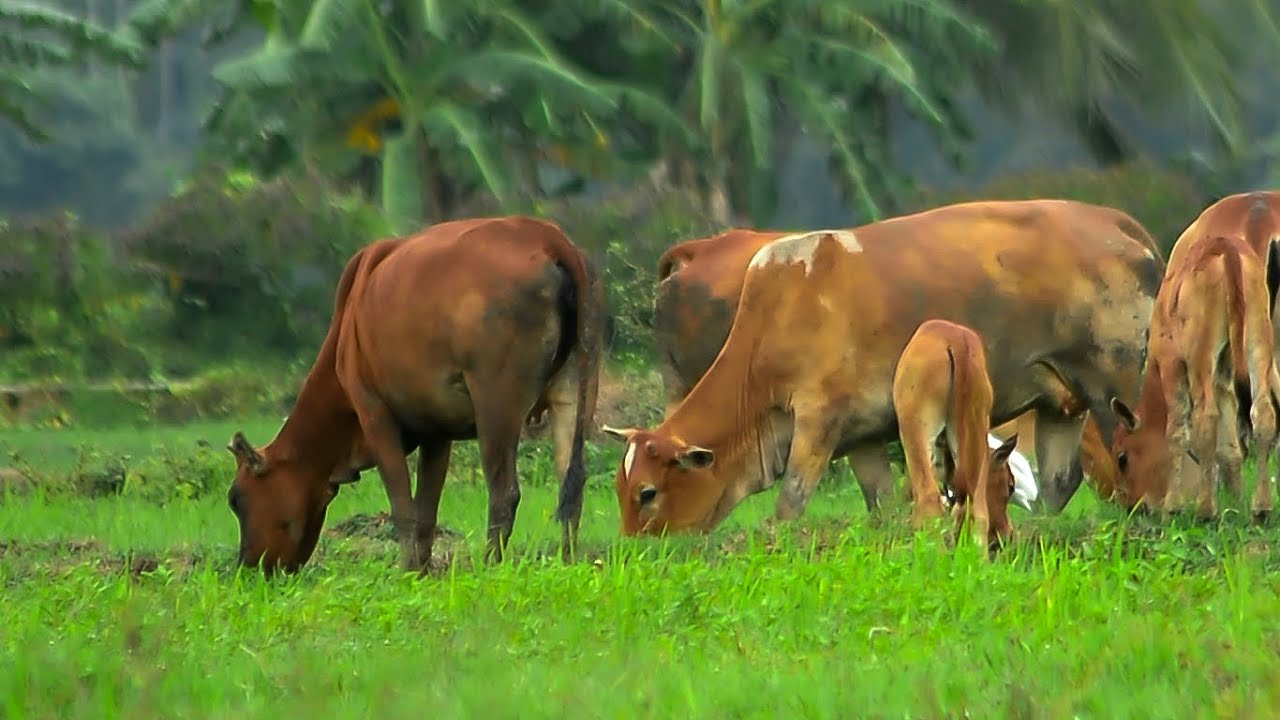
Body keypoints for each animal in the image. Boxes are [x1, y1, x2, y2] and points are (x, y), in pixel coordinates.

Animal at [225, 216, 603, 575]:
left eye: (237, 499)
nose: (247, 566)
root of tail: (547, 237)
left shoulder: (373, 412)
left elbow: (403, 507)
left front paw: (407, 571)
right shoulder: (437, 431)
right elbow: (426, 510)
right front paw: (422, 570)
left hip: (496, 402)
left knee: (504, 492)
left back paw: (490, 565)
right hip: (576, 389)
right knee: (571, 485)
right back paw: (568, 561)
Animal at [891, 318, 1026, 548]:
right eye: (1010, 486)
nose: (1007, 535)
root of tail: (958, 341)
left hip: (915, 432)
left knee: (929, 501)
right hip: (975, 428)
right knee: (977, 511)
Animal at [1109, 234, 1278, 519]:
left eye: (1123, 458)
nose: (1134, 507)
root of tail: (1225, 246)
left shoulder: (1172, 365)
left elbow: (1177, 432)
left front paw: (1173, 505)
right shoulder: (1223, 375)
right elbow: (1229, 445)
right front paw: (1236, 501)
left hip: (1200, 355)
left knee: (1205, 417)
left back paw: (1205, 509)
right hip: (1258, 337)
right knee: (1263, 413)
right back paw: (1261, 508)